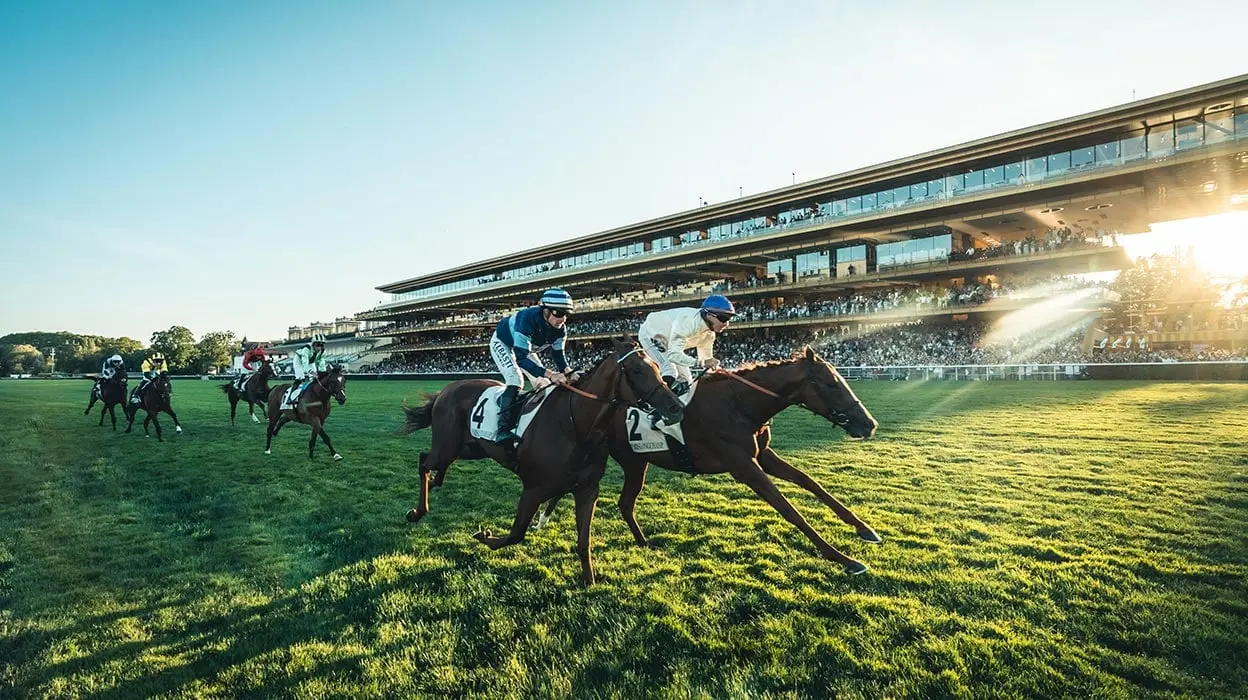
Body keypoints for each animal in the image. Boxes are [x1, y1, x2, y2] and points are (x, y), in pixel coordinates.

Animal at [399, 336, 688, 583]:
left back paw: (435, 484)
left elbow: (583, 542)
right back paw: (417, 511)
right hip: (447, 446)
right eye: (637, 370)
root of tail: (447, 388)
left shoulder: (586, 490)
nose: (676, 407)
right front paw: (485, 535)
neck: (576, 426)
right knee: (424, 461)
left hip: (471, 448)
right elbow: (515, 535)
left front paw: (589, 581)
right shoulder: (533, 489)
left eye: (656, 367)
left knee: (436, 465)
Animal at [536, 346, 878, 576]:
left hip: (636, 463)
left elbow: (810, 482)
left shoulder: (763, 456)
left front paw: (864, 529)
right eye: (832, 383)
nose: (869, 424)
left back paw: (642, 541)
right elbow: (789, 510)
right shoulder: (744, 466)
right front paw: (845, 560)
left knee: (624, 503)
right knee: (617, 500)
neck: (739, 405)